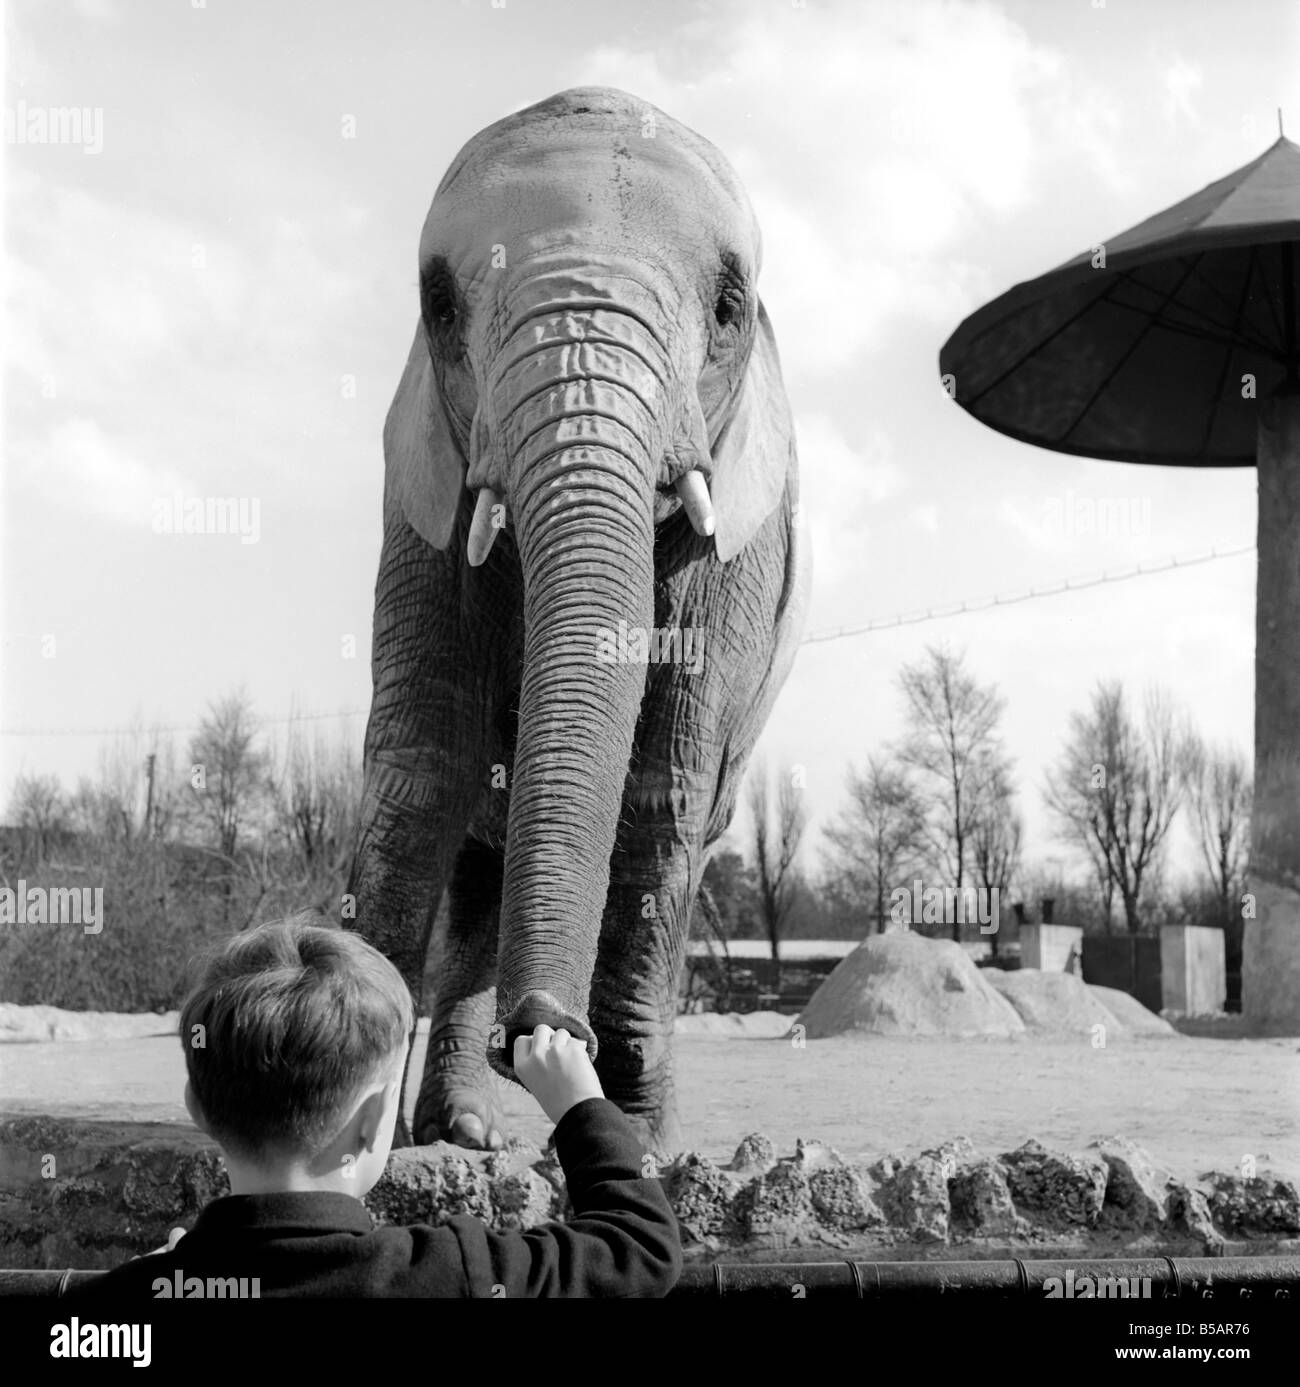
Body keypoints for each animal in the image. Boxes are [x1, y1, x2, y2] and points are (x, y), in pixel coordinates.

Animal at [345, 86, 810, 1153]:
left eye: (729, 305)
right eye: (438, 304)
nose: (541, 1033)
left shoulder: (740, 559)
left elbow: (660, 786)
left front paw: (642, 1141)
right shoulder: (417, 500)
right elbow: (422, 757)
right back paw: (463, 1131)